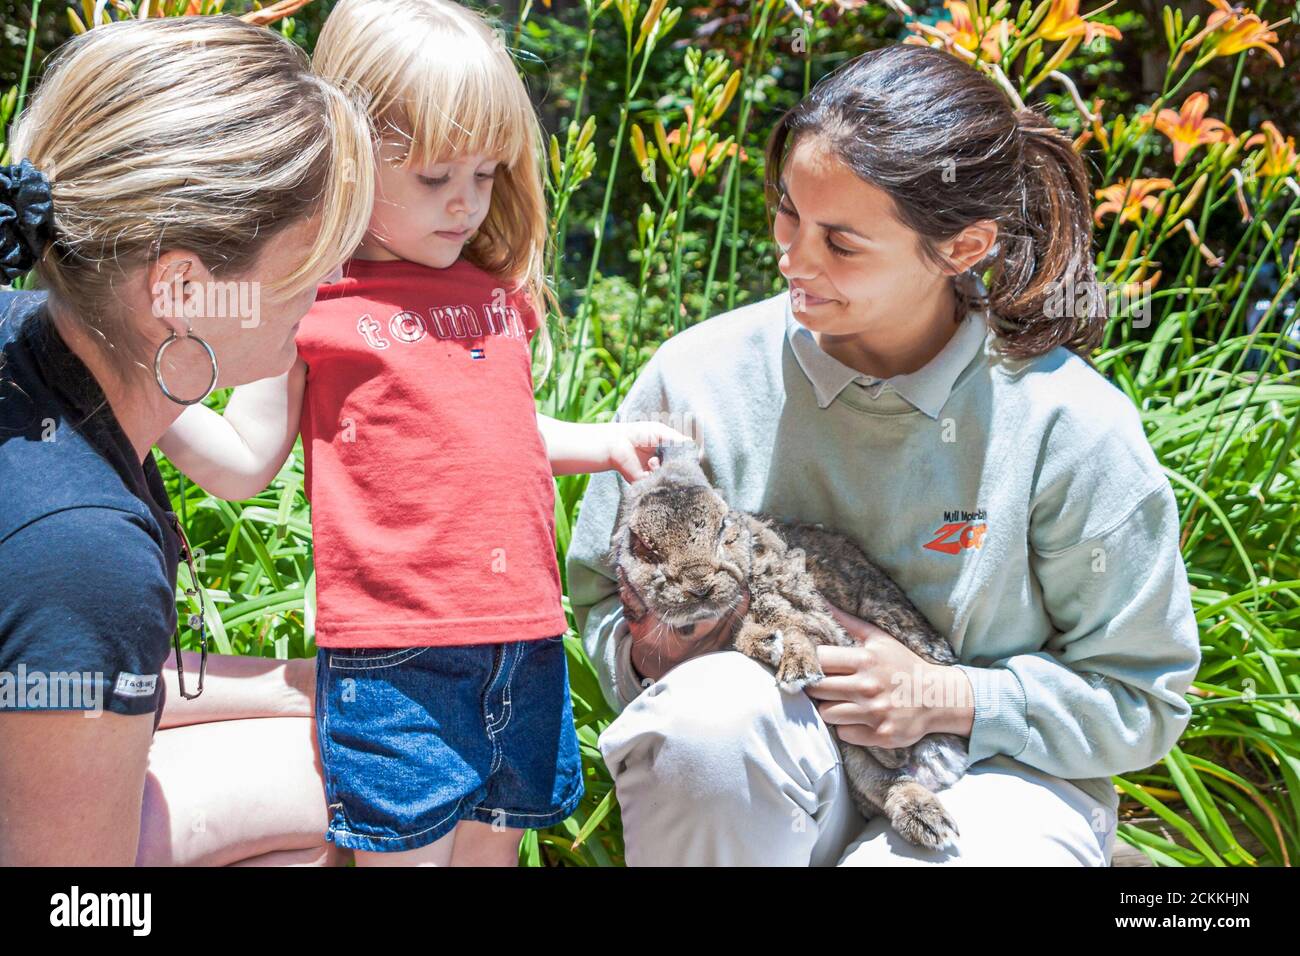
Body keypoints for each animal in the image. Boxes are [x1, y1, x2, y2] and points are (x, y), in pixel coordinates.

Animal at [608, 438, 969, 850]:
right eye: (642, 546)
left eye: (722, 527)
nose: (699, 585)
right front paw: (772, 646)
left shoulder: (801, 606)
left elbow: (789, 624)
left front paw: (797, 666)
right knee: (879, 780)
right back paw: (926, 818)